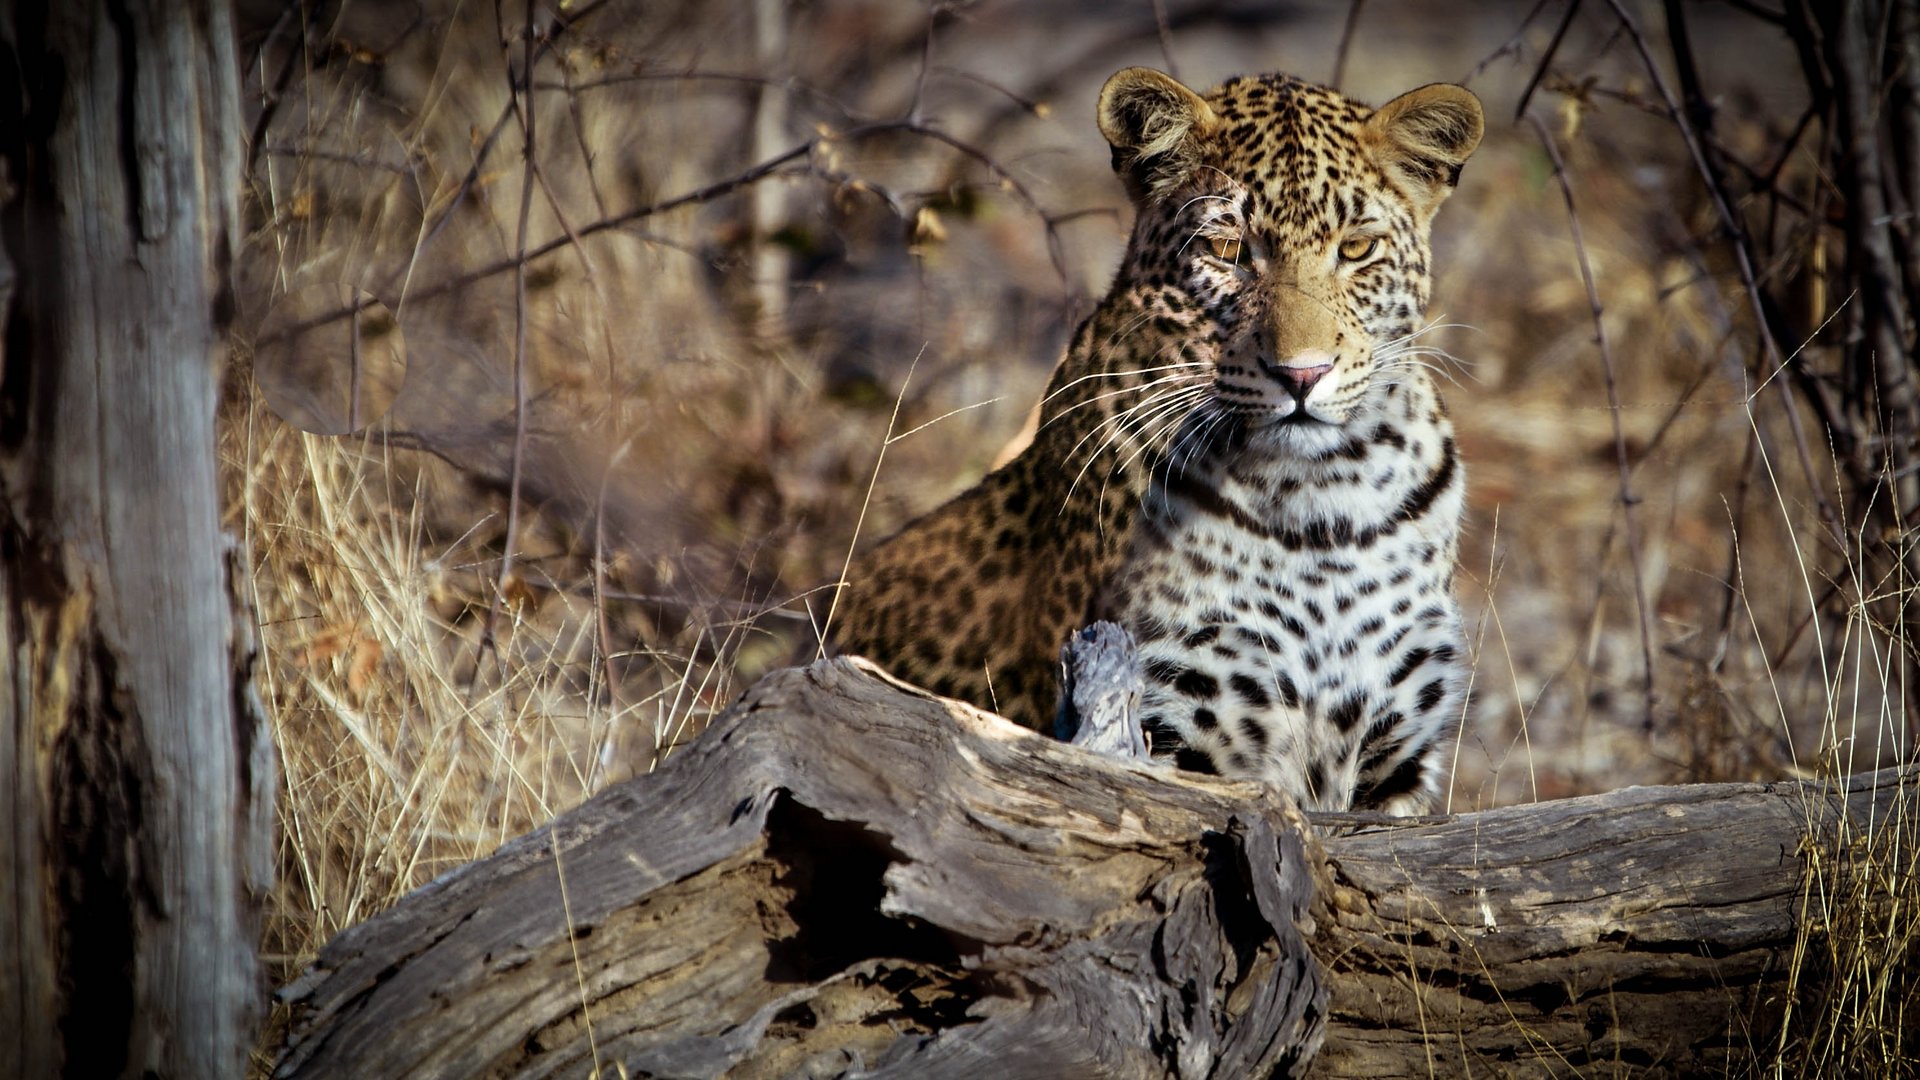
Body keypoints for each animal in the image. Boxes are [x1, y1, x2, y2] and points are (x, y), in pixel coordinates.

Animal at [829, 66, 1483, 815]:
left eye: (1356, 249)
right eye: (1228, 251)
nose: (1302, 374)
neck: (1321, 501)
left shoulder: (1397, 755)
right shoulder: (1171, 722)